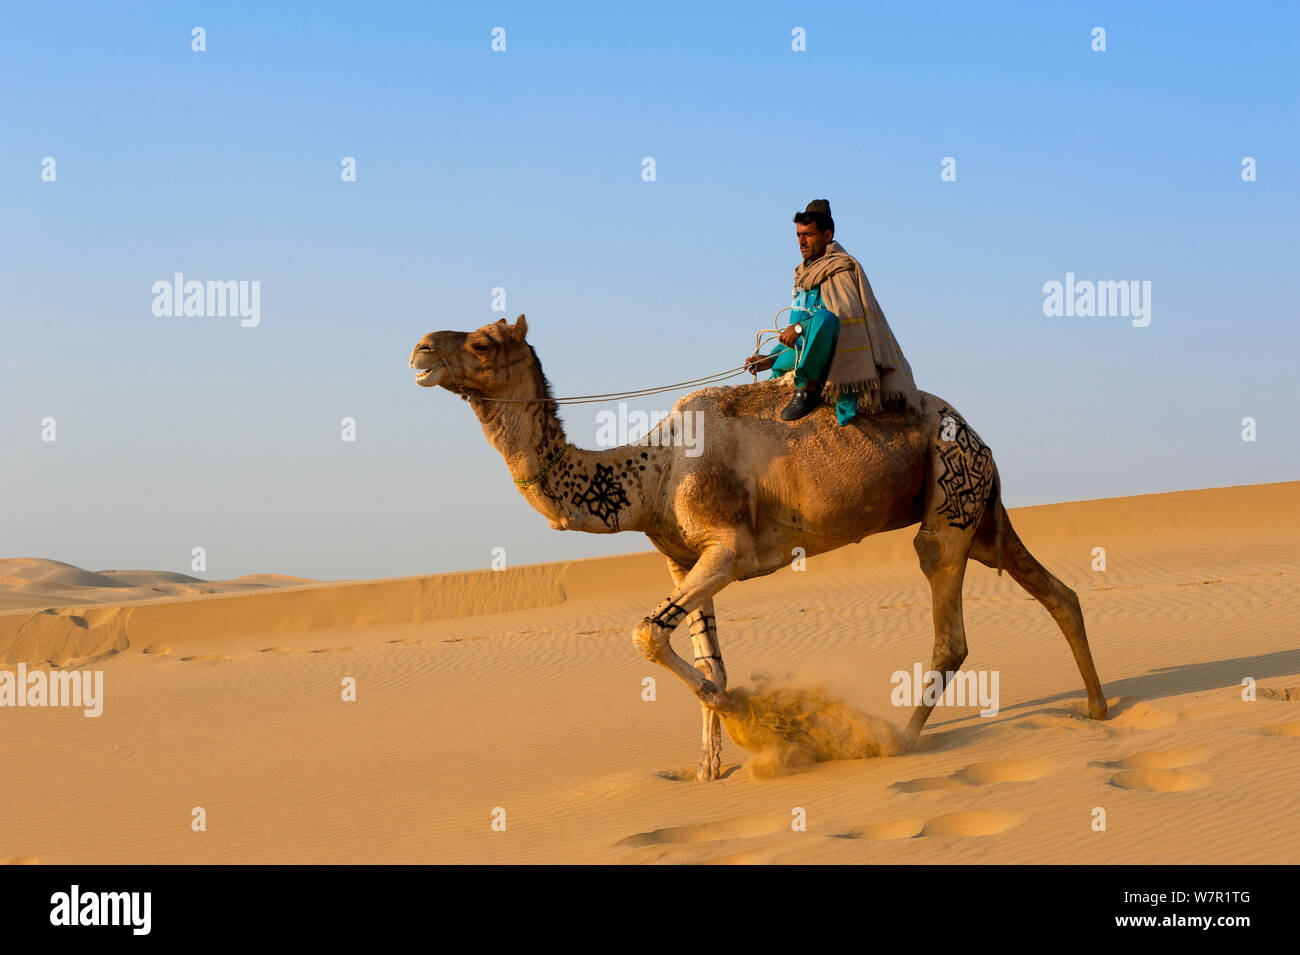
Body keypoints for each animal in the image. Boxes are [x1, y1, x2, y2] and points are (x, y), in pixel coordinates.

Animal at [409, 315, 1108, 781]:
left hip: (950, 500)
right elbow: (705, 656)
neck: (651, 475)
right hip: (982, 514)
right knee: (1057, 593)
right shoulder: (682, 559)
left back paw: (893, 741)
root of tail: (976, 435)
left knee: (950, 627)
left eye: (482, 342)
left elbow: (647, 635)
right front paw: (708, 769)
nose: (419, 348)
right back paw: (1097, 710)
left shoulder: (730, 549)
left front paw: (753, 718)